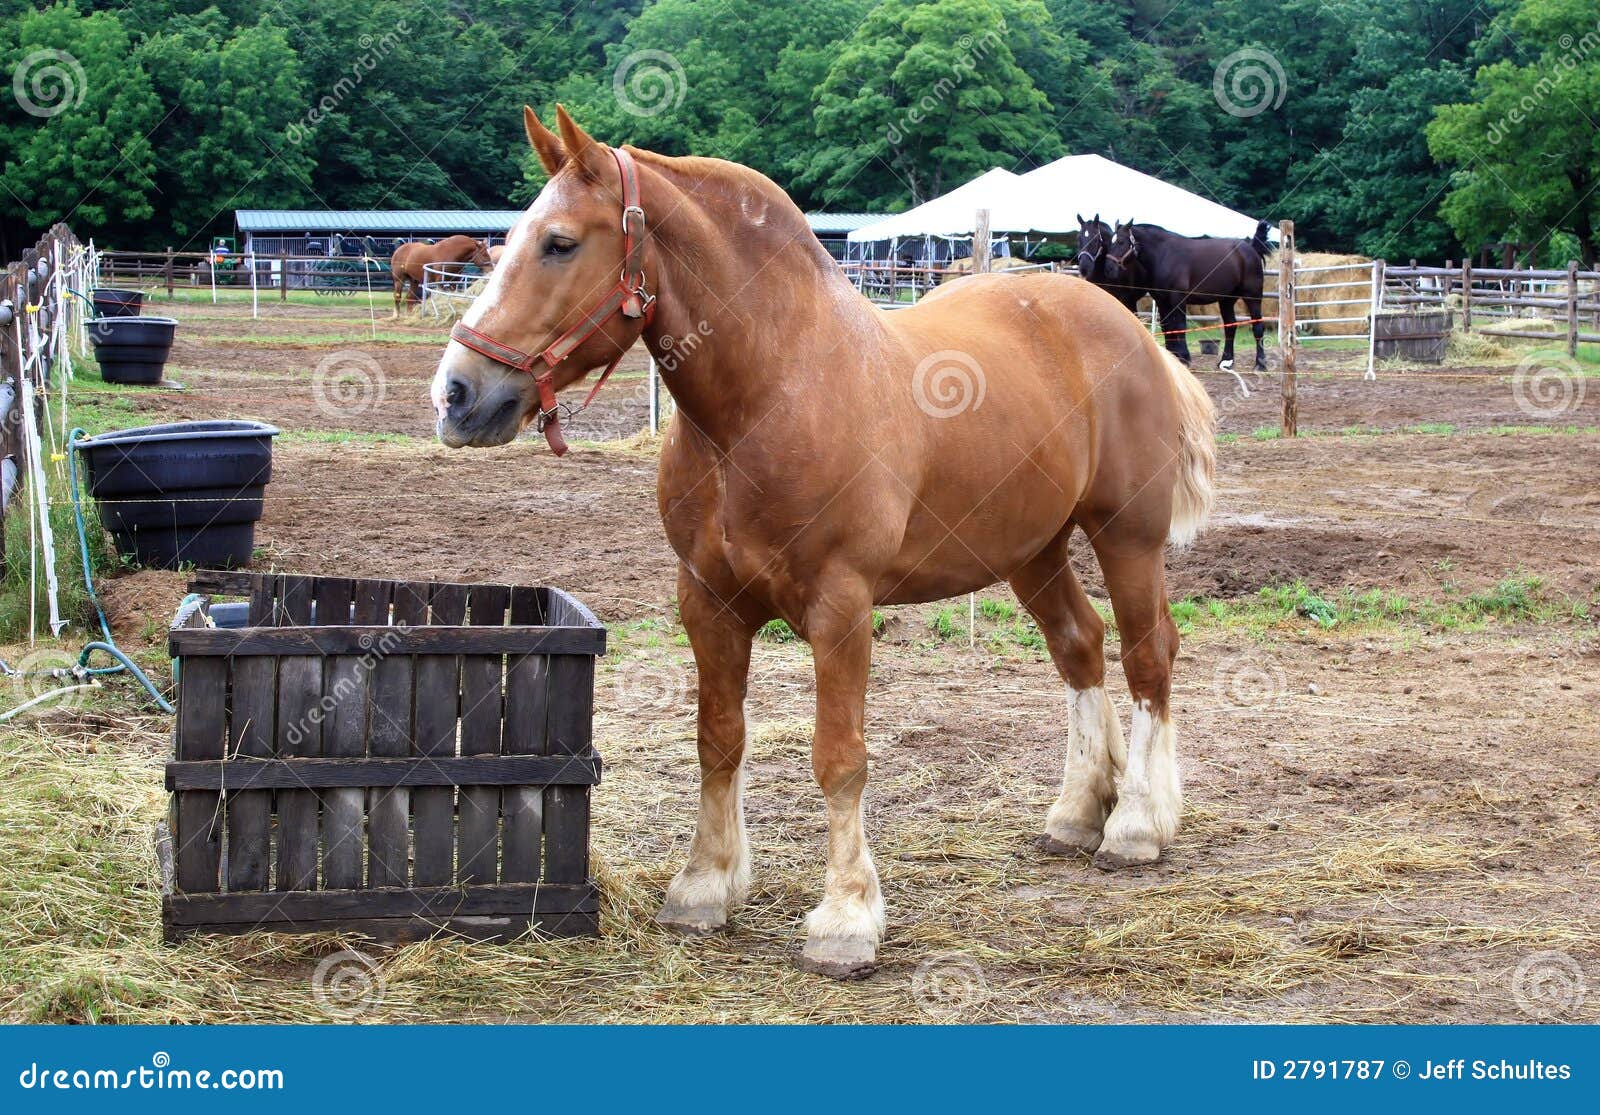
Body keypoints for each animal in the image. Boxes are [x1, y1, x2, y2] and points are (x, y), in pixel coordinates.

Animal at [431, 106, 1217, 978]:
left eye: (561, 243)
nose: (456, 392)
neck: (770, 394)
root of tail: (1130, 331)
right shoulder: (708, 602)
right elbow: (718, 740)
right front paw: (705, 885)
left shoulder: (841, 607)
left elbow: (839, 757)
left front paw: (844, 918)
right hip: (1032, 550)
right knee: (1080, 645)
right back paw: (1079, 810)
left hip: (1126, 536)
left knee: (1148, 656)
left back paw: (1137, 823)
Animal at [1104, 219, 1271, 371]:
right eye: (1110, 241)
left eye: (1121, 241)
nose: (1109, 269)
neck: (1165, 255)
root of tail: (1250, 248)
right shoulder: (1162, 300)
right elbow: (1167, 327)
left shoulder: (1178, 299)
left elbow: (1179, 326)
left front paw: (1184, 358)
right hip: (1227, 300)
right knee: (1230, 326)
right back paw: (1226, 362)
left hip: (1253, 297)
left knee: (1258, 326)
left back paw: (1260, 364)